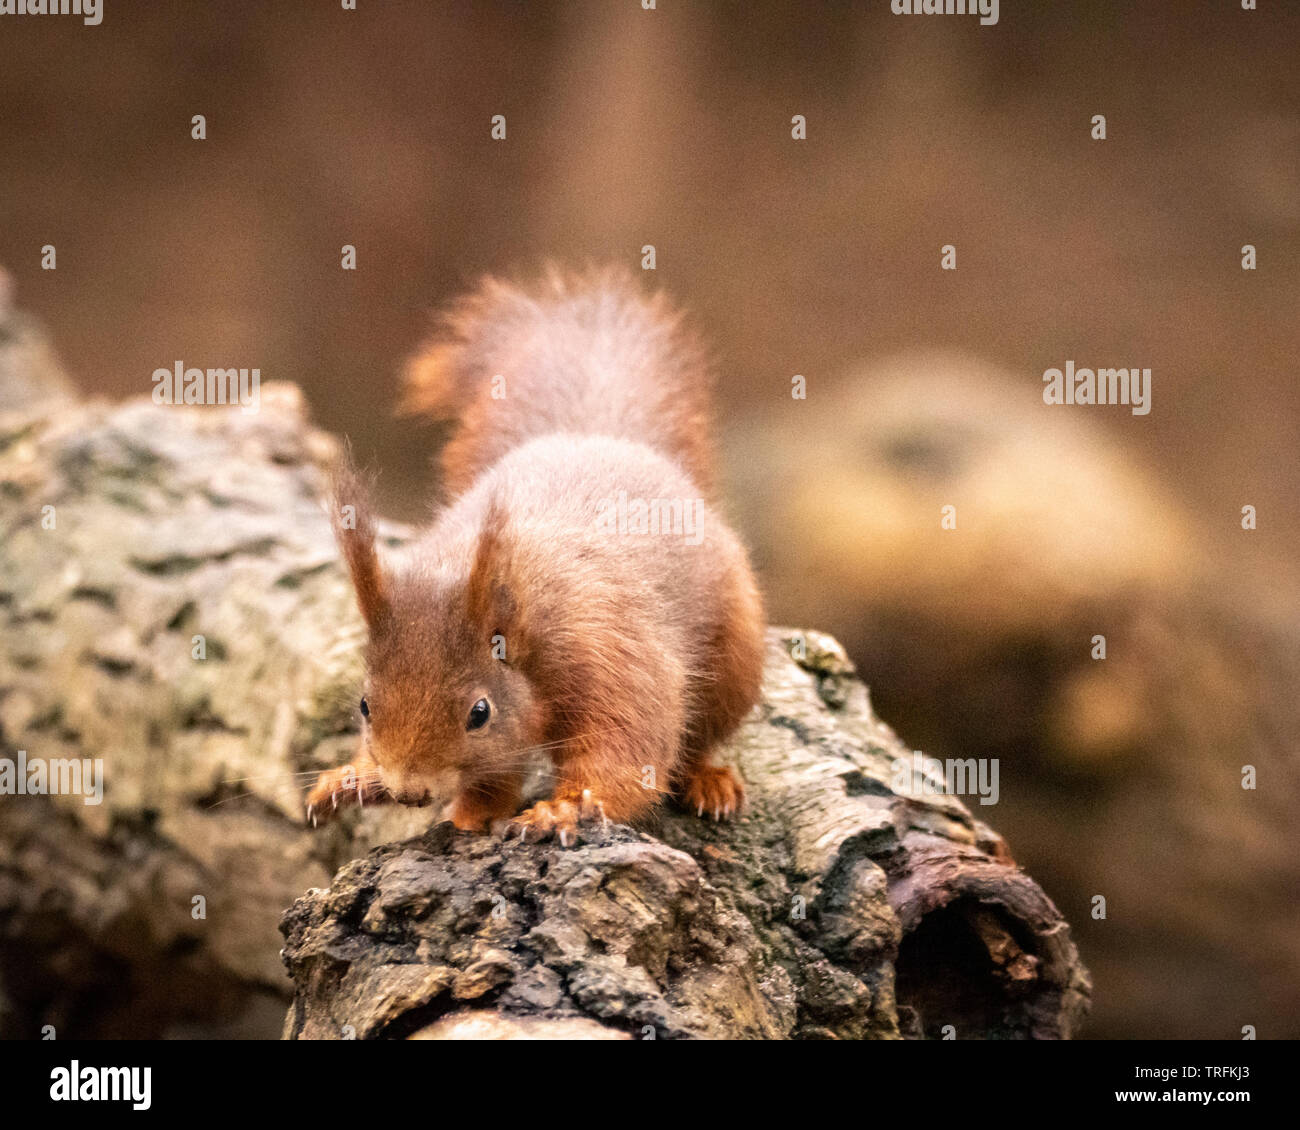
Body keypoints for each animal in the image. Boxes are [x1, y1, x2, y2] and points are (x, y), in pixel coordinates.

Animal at [306, 267, 766, 845]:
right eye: (365, 705)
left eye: (479, 712)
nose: (410, 791)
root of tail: (598, 436)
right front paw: (352, 779)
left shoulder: (610, 654)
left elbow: (624, 754)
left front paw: (561, 811)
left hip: (734, 654)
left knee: (702, 733)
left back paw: (709, 780)